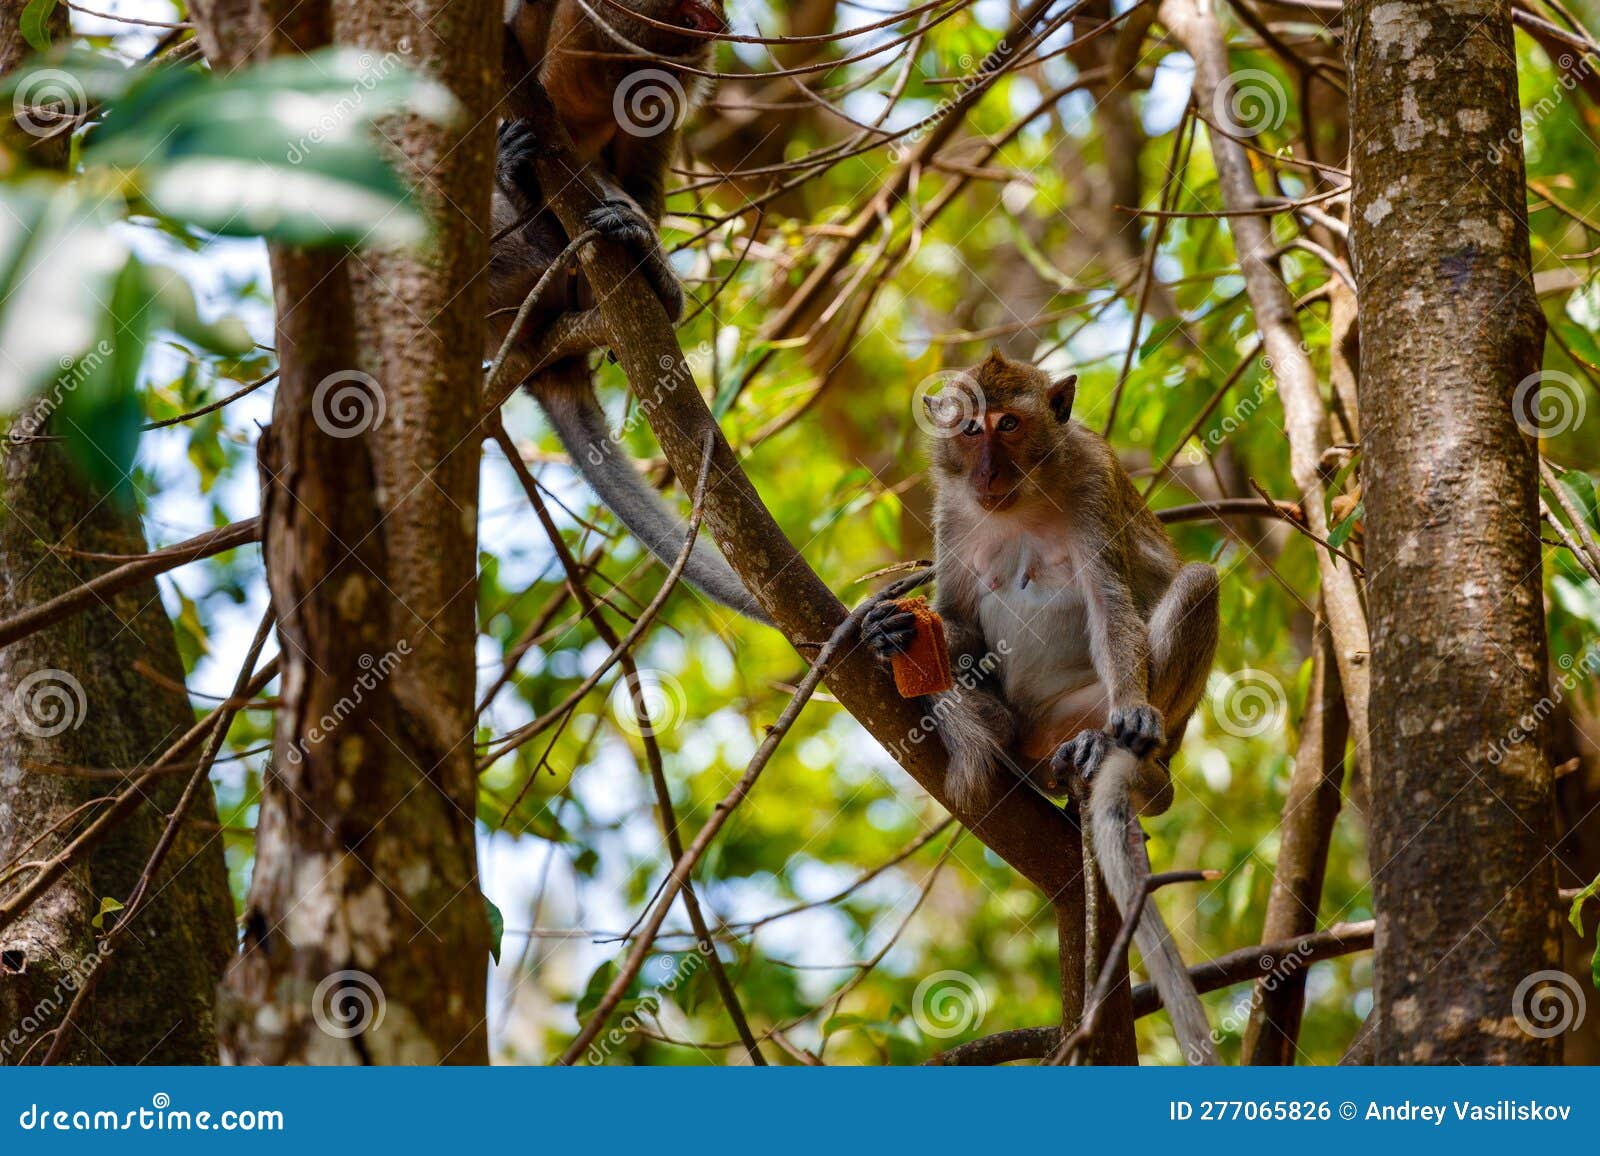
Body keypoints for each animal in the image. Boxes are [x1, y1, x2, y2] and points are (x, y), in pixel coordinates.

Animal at [862, 350, 1221, 1065]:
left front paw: (1133, 716)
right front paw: (892, 632)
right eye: (969, 429)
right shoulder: (951, 508)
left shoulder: (1090, 484)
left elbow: (1111, 605)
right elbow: (955, 618)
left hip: (1116, 718)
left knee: (1197, 583)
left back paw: (1126, 764)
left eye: (1009, 424)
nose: (986, 472)